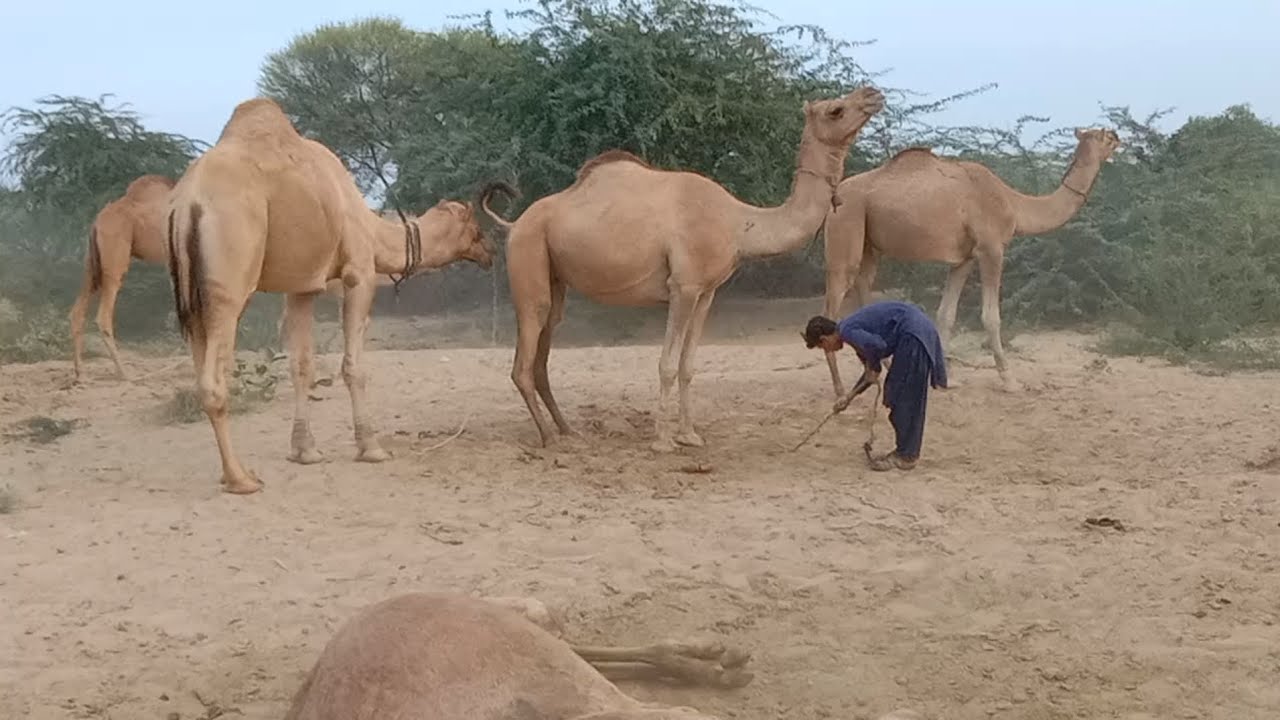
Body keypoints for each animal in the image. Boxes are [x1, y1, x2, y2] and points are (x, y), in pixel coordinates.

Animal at [68, 174, 177, 382]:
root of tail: (96, 222)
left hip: (91, 265)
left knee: (77, 311)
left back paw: (80, 374)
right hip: (115, 260)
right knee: (103, 315)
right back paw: (124, 373)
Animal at [166, 97, 511, 494]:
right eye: (474, 230)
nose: (490, 252)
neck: (374, 228)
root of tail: (189, 202)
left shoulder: (301, 286)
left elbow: (302, 365)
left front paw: (305, 451)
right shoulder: (359, 272)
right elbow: (353, 366)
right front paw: (371, 447)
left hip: (191, 293)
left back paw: (230, 471)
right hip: (230, 272)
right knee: (215, 373)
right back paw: (241, 478)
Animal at [485, 86, 885, 451]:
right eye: (835, 110)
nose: (874, 94)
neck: (739, 224)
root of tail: (514, 223)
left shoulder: (706, 292)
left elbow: (688, 365)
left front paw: (690, 435)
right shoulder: (684, 286)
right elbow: (666, 363)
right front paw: (662, 441)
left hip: (554, 275)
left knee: (543, 349)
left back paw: (568, 431)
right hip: (527, 253)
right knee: (525, 355)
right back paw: (551, 437)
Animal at [820, 128, 1121, 395]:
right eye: (1106, 135)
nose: (1120, 138)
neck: (1014, 204)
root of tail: (834, 196)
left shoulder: (963, 259)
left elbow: (946, 314)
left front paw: (945, 380)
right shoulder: (991, 249)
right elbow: (991, 317)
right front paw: (1010, 381)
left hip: (870, 242)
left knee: (863, 284)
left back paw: (879, 368)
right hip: (845, 224)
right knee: (835, 298)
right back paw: (839, 388)